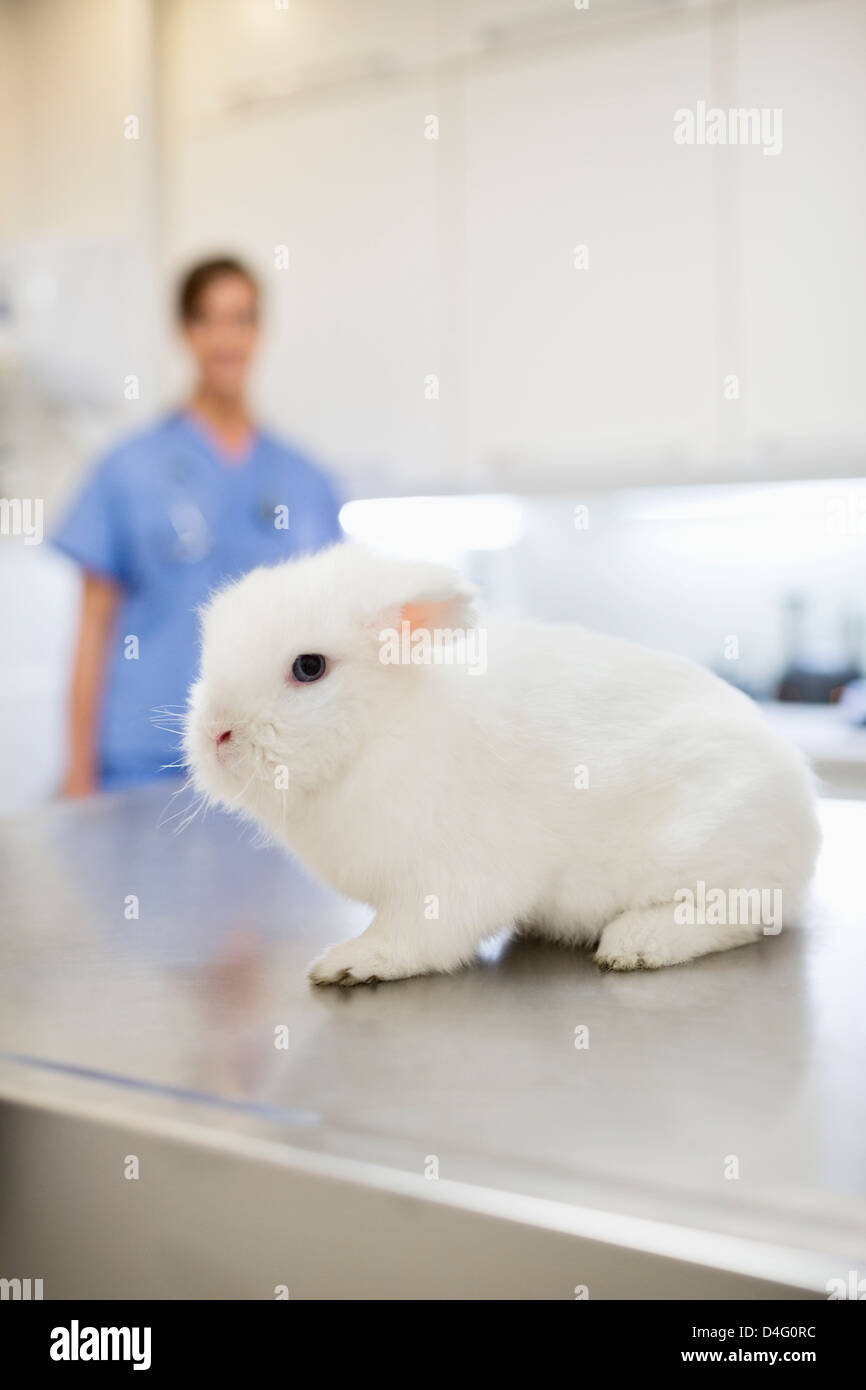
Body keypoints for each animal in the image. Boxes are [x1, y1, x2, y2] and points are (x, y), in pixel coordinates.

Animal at [184, 542, 821, 986]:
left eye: (309, 667)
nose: (216, 733)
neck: (379, 730)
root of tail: (802, 821)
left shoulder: (448, 877)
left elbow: (414, 935)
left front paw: (348, 963)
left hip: (708, 853)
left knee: (741, 914)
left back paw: (634, 943)